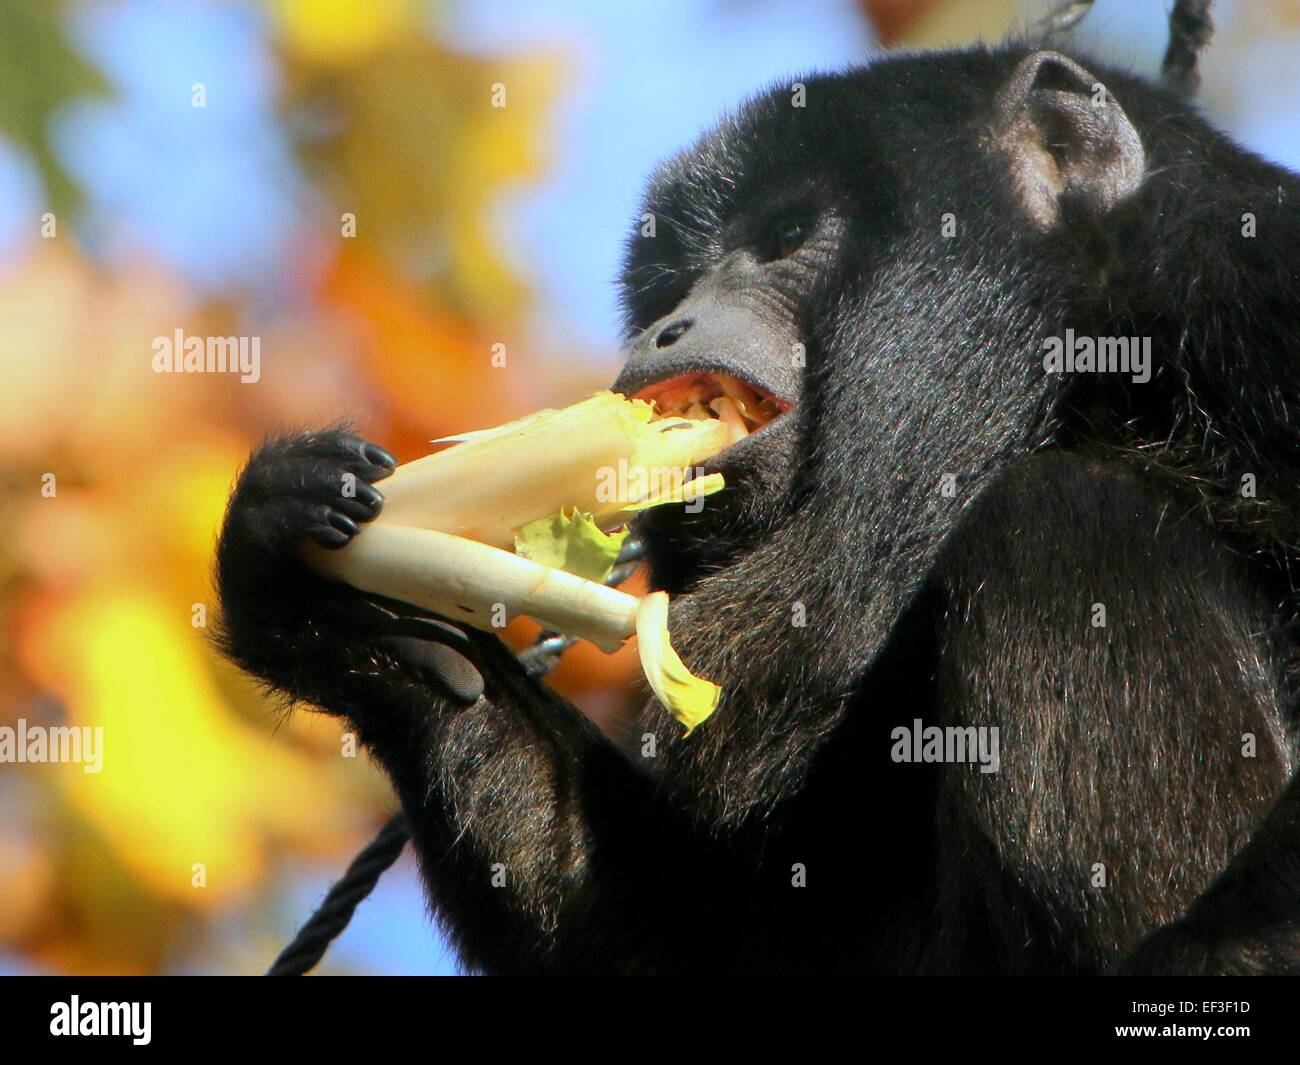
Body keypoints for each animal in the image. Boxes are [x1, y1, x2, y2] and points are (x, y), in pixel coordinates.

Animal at [215, 5, 1300, 974]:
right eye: (667, 287)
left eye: (786, 231)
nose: (664, 327)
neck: (1096, 385)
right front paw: (319, 600)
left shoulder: (1245, 287)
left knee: (1062, 519)